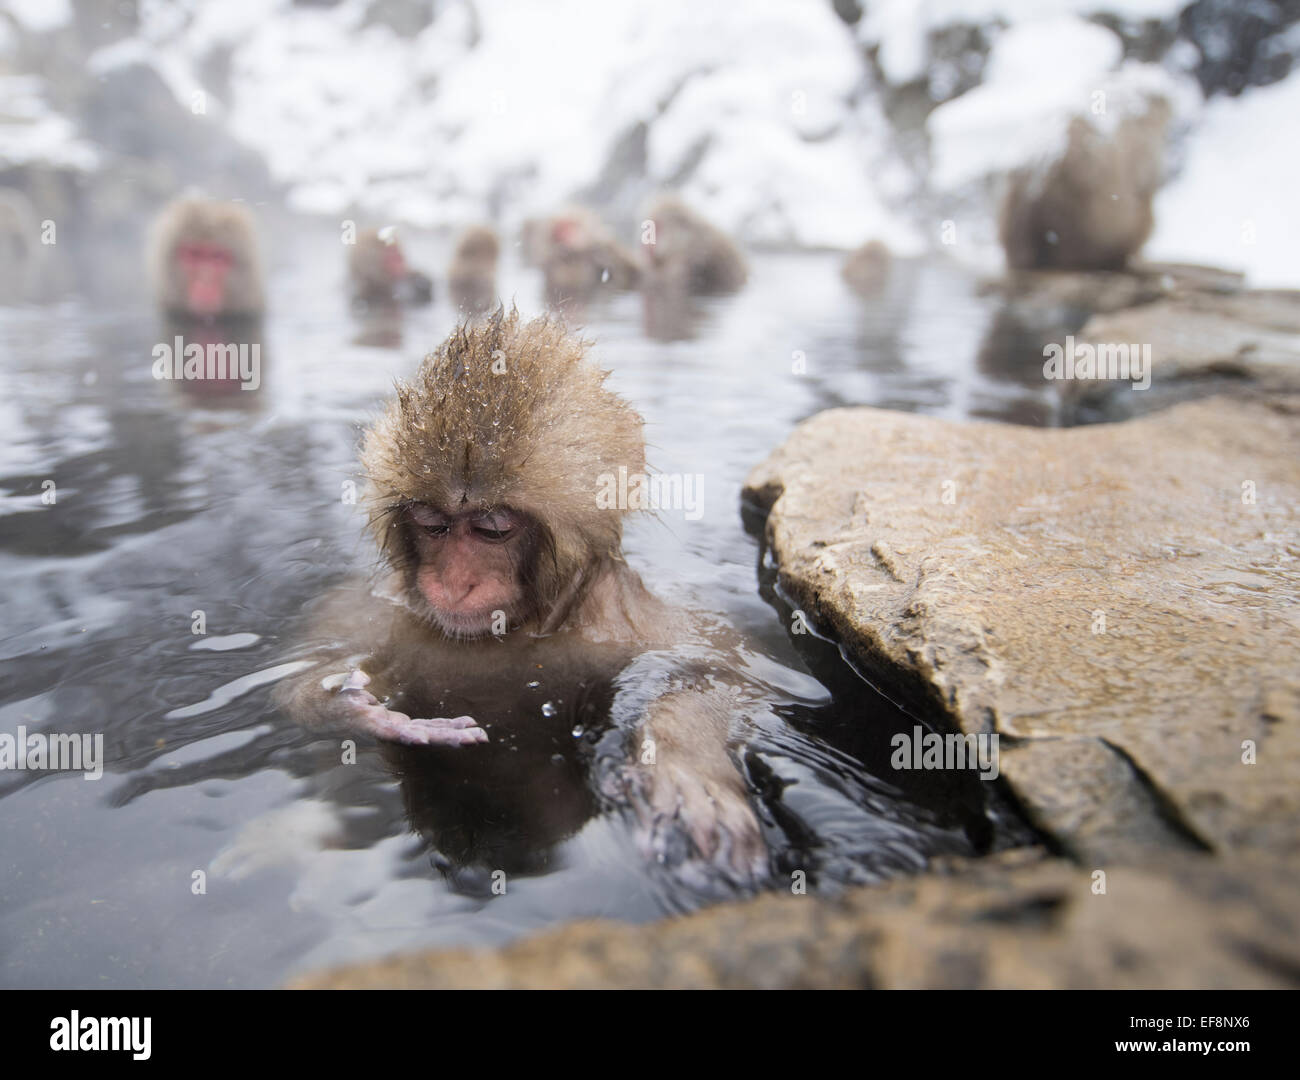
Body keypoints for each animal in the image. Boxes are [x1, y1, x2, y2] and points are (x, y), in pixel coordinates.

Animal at [276, 310, 767, 887]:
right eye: (433, 525)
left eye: (492, 529)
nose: (453, 583)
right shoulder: (373, 604)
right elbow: (292, 684)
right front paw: (368, 712)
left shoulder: (627, 616)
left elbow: (723, 672)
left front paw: (683, 768)